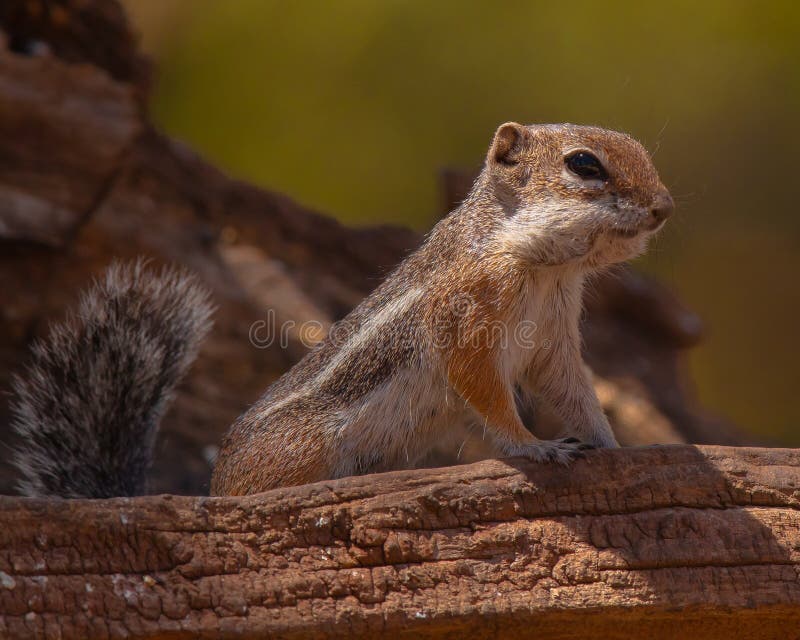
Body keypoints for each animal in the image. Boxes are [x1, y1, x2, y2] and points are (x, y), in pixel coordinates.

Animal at [10, 123, 673, 498]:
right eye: (584, 164)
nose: (664, 207)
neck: (542, 264)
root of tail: (215, 490)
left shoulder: (553, 338)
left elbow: (570, 390)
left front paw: (612, 444)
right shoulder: (466, 318)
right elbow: (484, 391)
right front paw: (537, 447)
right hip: (313, 449)